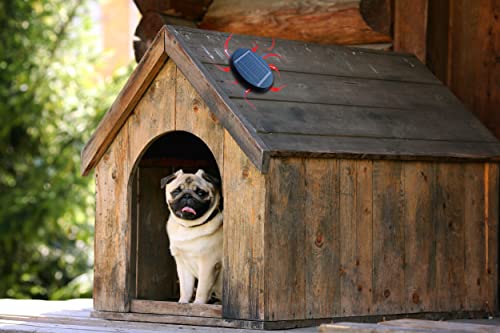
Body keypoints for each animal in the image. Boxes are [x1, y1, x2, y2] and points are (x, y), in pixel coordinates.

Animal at [160, 169, 223, 304]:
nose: (187, 195)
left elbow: (201, 290)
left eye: (200, 192)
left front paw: (198, 304)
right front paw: (183, 302)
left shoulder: (208, 265)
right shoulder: (183, 266)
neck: (189, 227)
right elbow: (186, 289)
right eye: (176, 191)